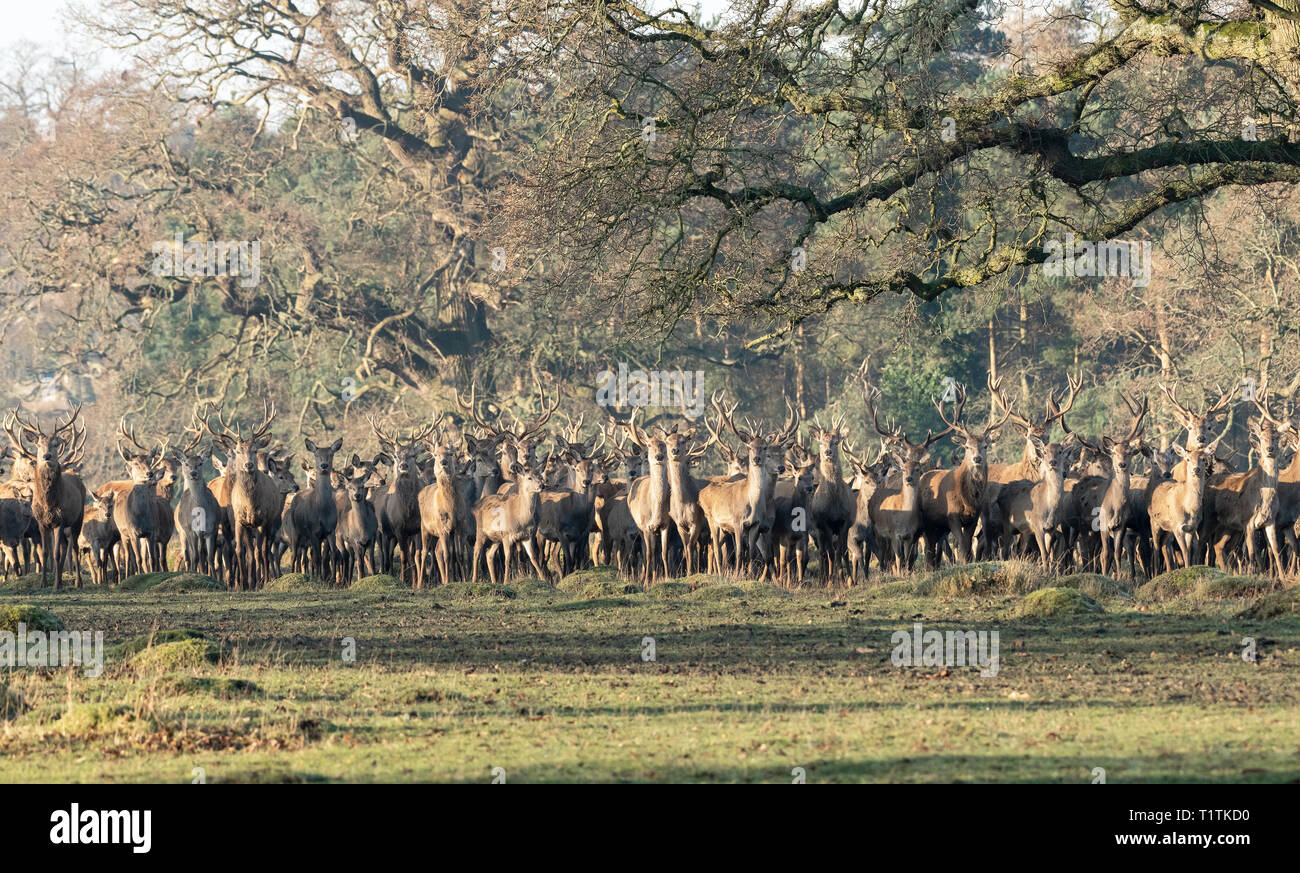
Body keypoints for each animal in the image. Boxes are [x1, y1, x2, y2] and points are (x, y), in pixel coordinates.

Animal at [3, 405, 87, 590]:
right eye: (39, 444)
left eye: (56, 444)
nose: (46, 456)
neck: (48, 504)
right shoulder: (42, 523)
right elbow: (45, 553)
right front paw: (43, 583)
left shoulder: (60, 521)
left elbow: (55, 553)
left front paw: (55, 585)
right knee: (64, 547)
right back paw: (61, 579)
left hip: (77, 518)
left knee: (74, 547)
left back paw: (77, 581)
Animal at [201, 403, 281, 590]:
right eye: (238, 451)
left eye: (255, 449)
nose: (248, 464)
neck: (250, 504)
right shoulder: (238, 520)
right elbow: (240, 550)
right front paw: (243, 583)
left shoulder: (262, 520)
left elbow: (259, 552)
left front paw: (259, 581)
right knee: (250, 551)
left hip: (270, 522)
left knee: (265, 550)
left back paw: (265, 579)